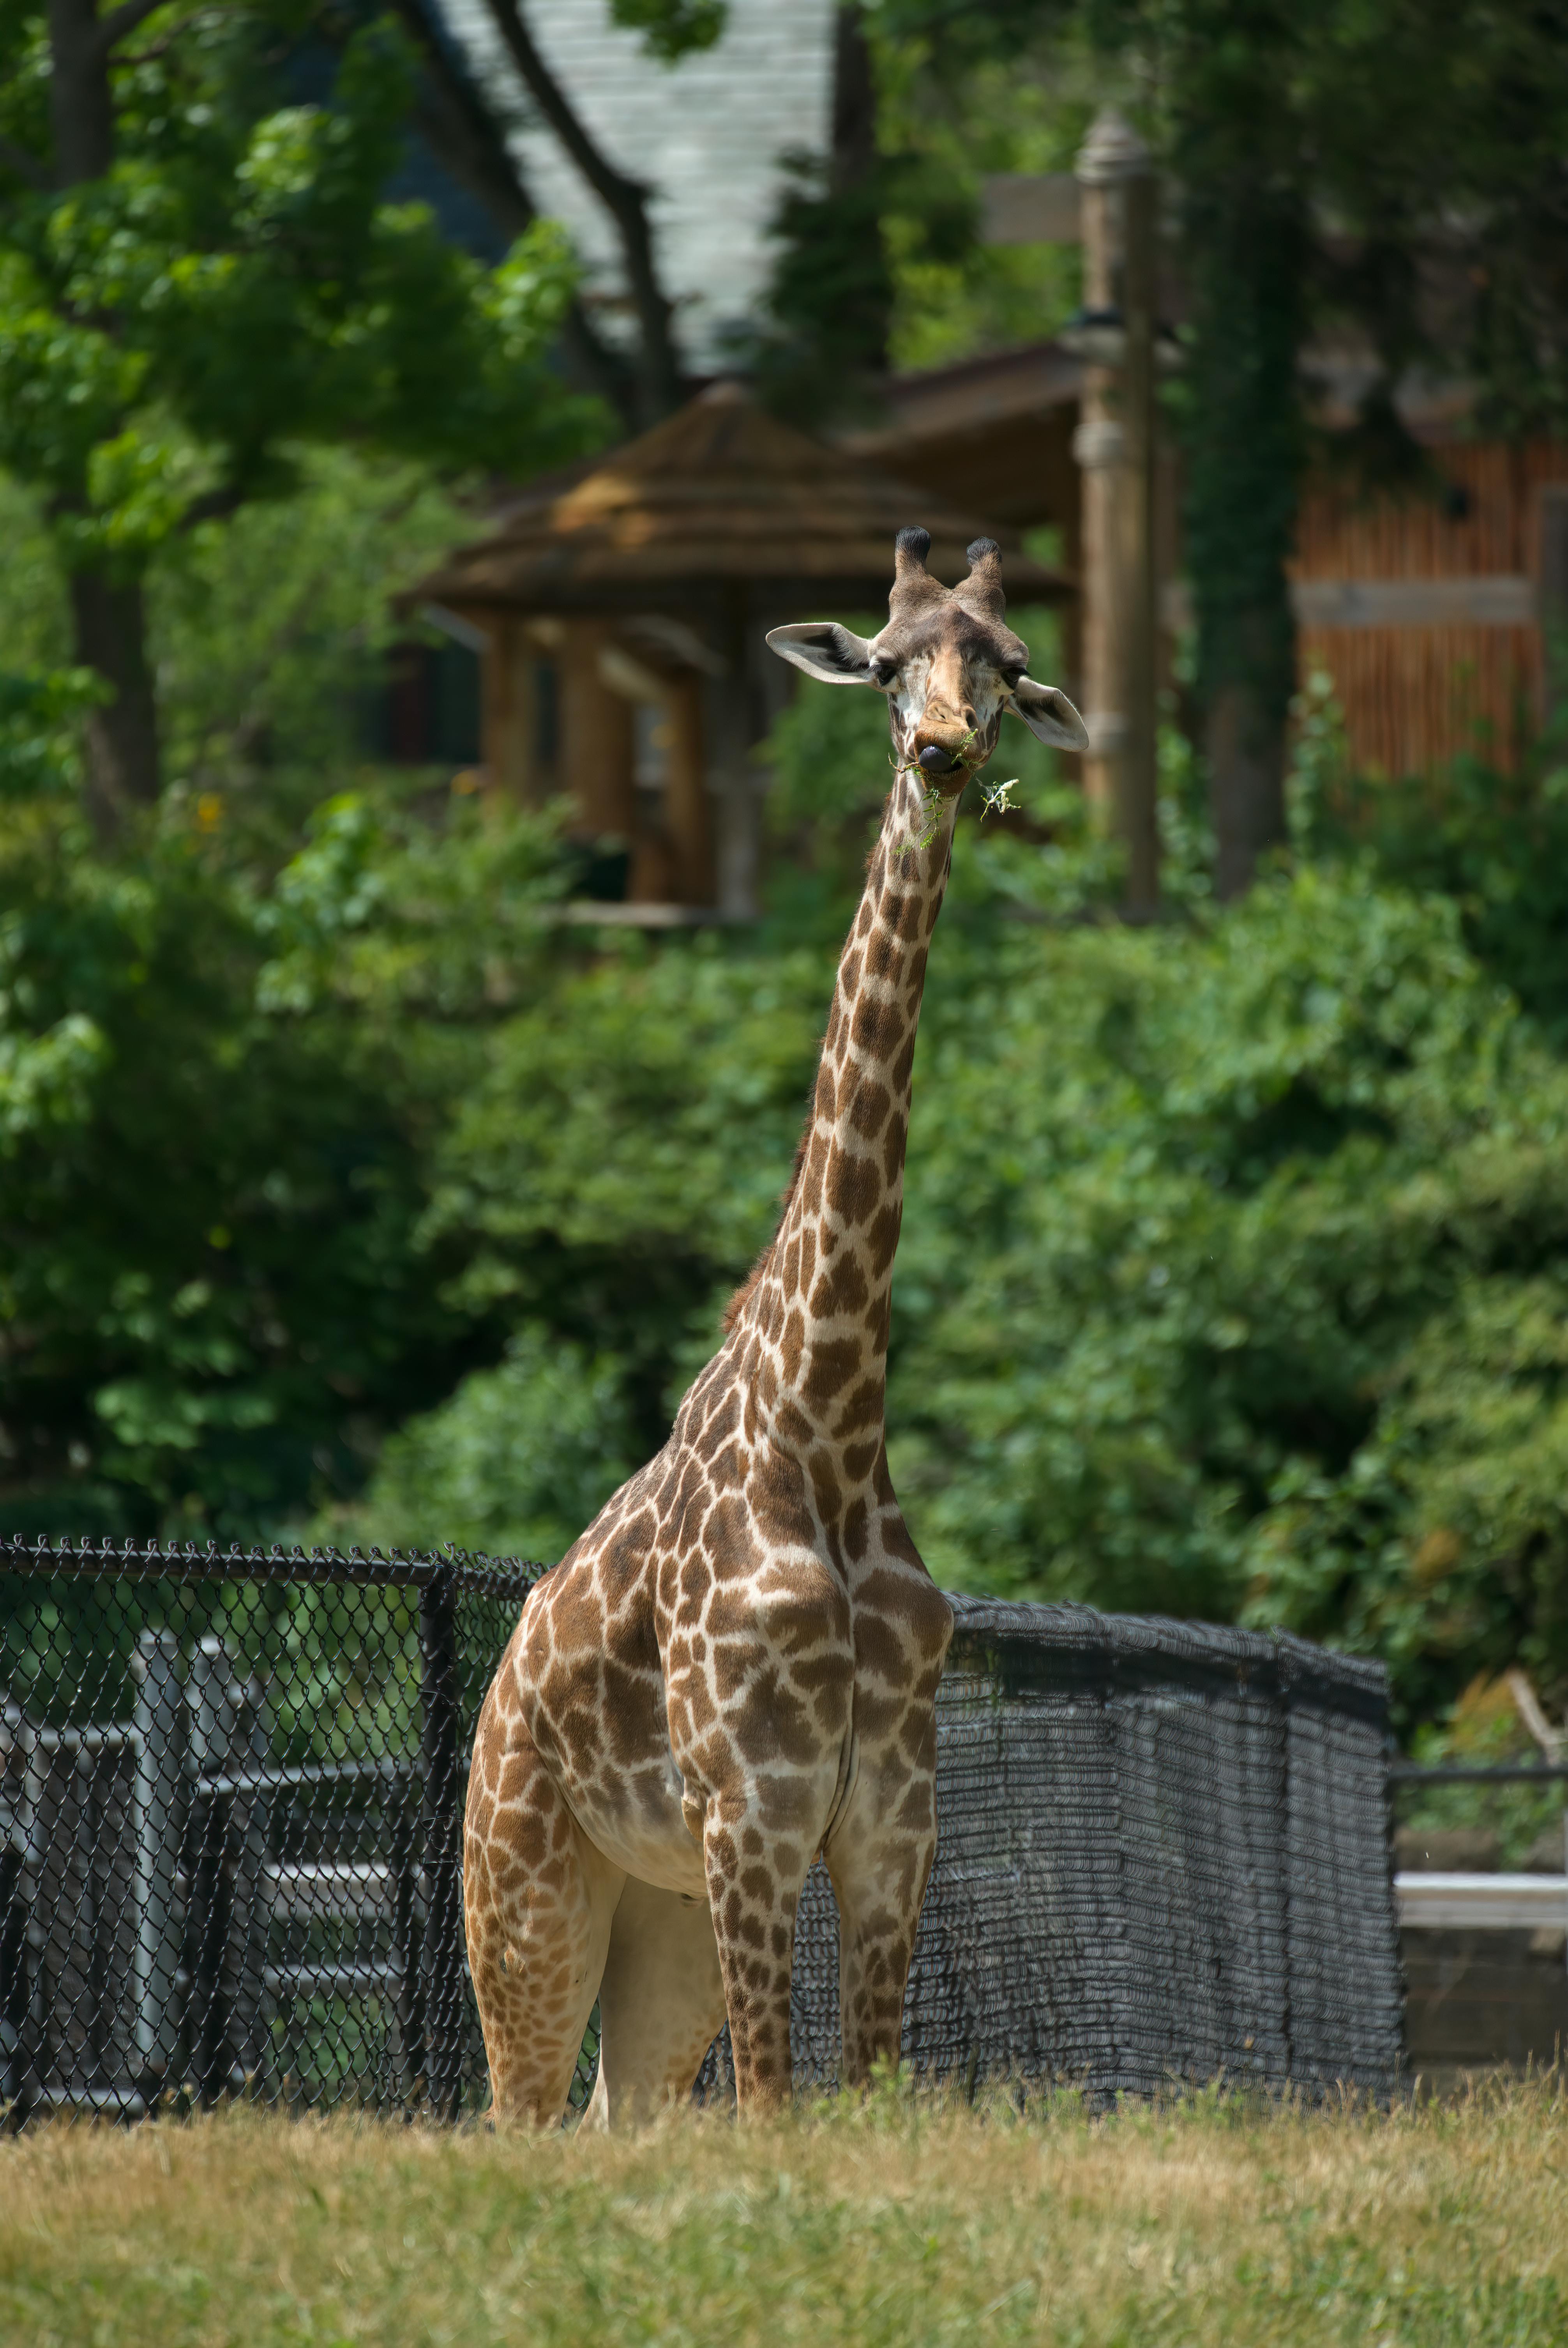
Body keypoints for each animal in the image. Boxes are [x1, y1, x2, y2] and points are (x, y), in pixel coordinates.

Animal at [463, 527, 1088, 2125]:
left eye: (1006, 667)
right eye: (883, 663)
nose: (940, 751)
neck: (830, 1421)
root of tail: (494, 1697)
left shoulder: (886, 1822)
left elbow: (858, 2102)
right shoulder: (754, 1807)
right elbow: (772, 2107)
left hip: (658, 1917)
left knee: (617, 2117)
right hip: (526, 1895)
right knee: (513, 2113)